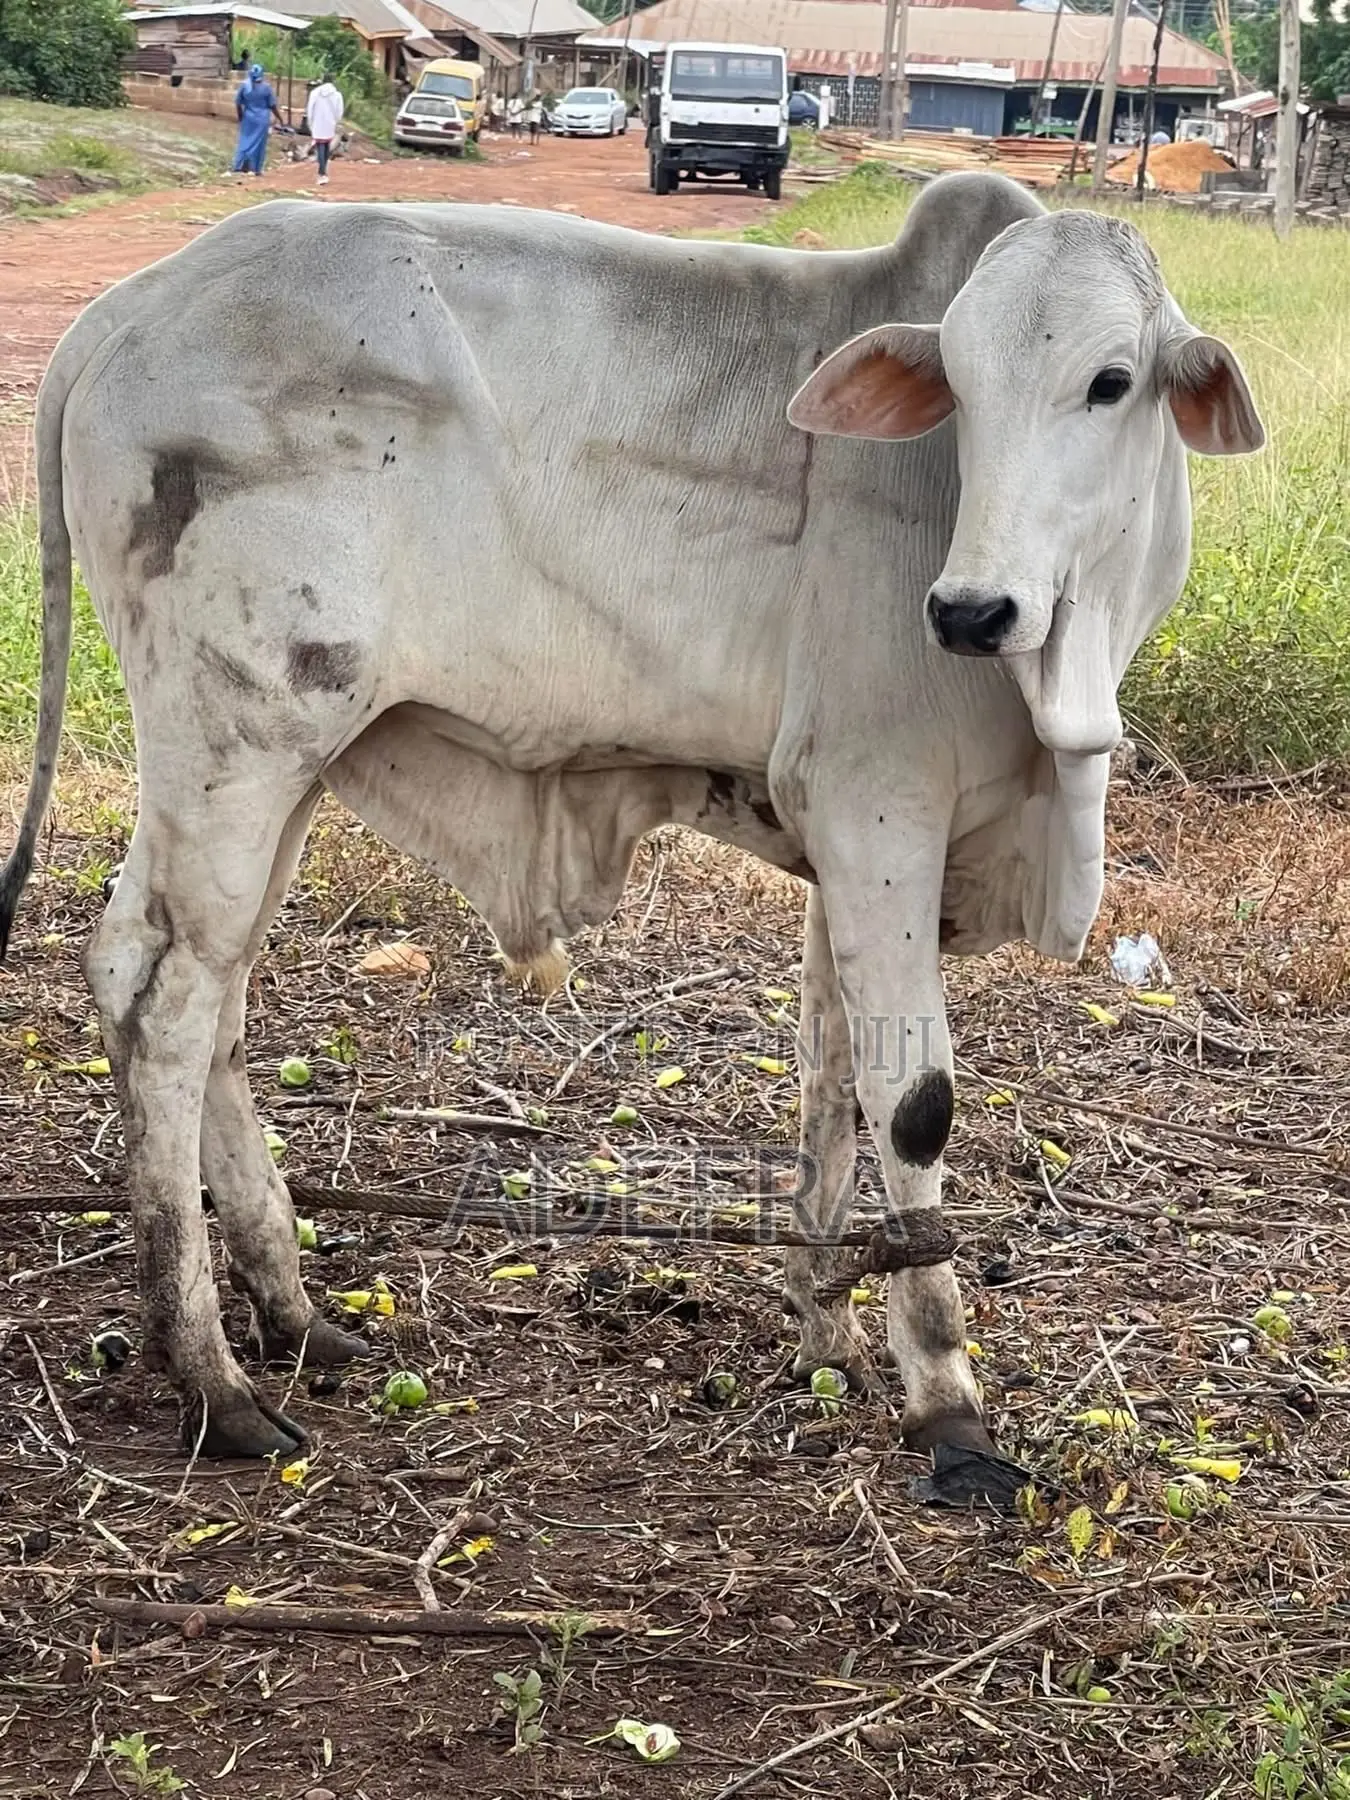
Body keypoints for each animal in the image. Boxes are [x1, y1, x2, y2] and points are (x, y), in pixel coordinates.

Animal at [0, 173, 1262, 1469]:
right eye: (956, 382)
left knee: (208, 993)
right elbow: (912, 1102)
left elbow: (833, 1076)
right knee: (161, 1001)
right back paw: (210, 1377)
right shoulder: (881, 808)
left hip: (289, 761)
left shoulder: (845, 847)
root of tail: (124, 313)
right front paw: (947, 1403)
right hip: (234, 744)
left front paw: (826, 1328)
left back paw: (294, 1315)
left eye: (1110, 381)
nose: (969, 611)